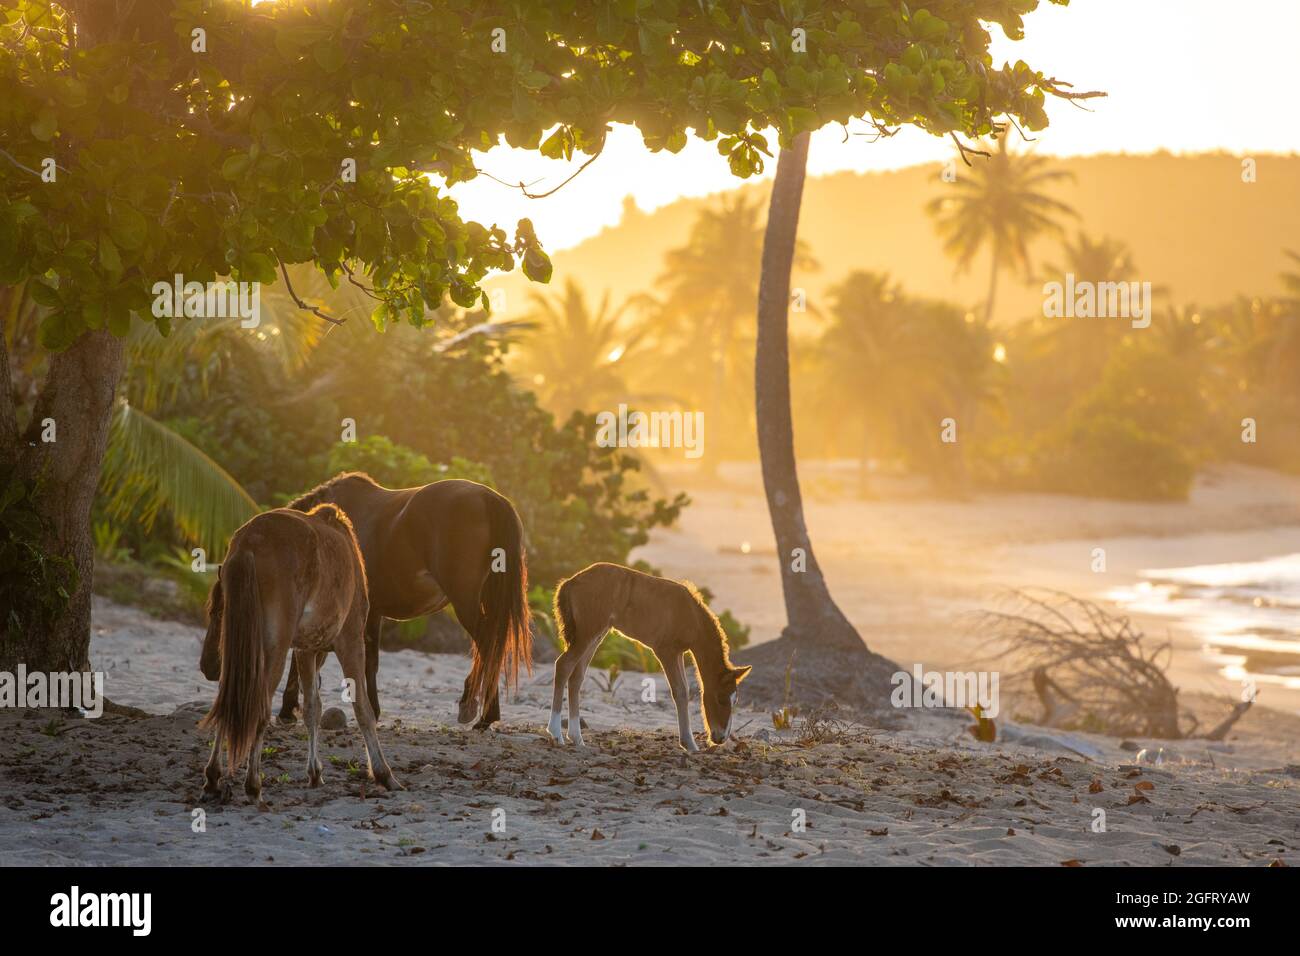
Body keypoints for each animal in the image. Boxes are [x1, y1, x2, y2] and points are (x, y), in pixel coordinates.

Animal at [198, 504, 400, 801]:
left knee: (229, 701)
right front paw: (383, 773)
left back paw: (213, 778)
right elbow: (362, 708)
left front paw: (315, 772)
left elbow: (312, 709)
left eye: (217, 613)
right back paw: (253, 784)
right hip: (274, 652)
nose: (207, 666)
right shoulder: (350, 642)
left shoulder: (307, 650)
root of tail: (250, 540)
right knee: (257, 707)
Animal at [201, 474, 530, 729]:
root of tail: (489, 498)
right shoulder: (369, 613)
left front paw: (287, 709)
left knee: (487, 644)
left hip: (465, 602)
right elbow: (369, 659)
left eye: (220, 612)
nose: (208, 668)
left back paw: (475, 710)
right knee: (493, 646)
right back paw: (486, 714)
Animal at [548, 562, 751, 751]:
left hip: (596, 635)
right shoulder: (665, 651)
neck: (690, 615)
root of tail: (571, 581)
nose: (721, 738)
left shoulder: (678, 653)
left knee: (577, 676)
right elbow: (680, 691)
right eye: (720, 698)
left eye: (735, 701)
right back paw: (556, 733)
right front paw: (689, 744)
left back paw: (576, 737)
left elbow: (684, 690)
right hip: (588, 632)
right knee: (564, 665)